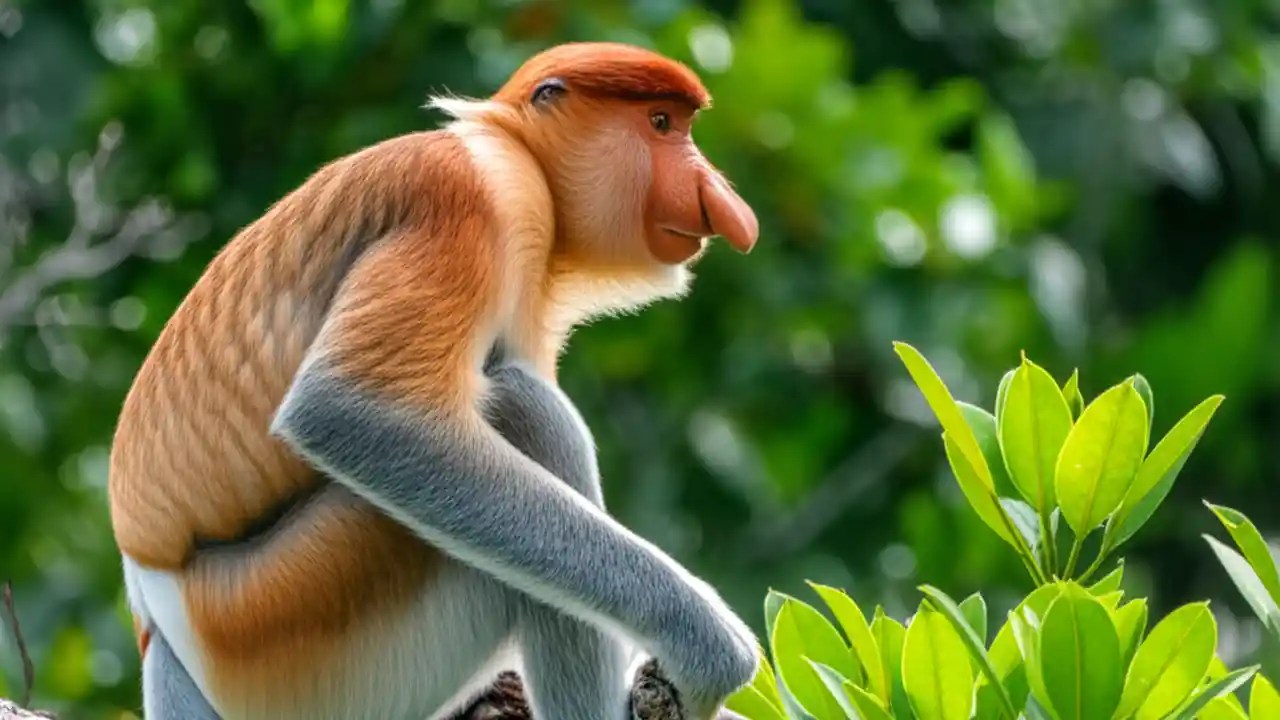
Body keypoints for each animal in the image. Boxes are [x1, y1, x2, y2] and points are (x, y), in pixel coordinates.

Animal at [107, 42, 760, 720]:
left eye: (680, 126)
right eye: (660, 124)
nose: (719, 195)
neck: (523, 157)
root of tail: (152, 612)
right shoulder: (472, 199)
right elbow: (344, 406)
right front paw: (710, 645)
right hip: (286, 626)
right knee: (525, 411)